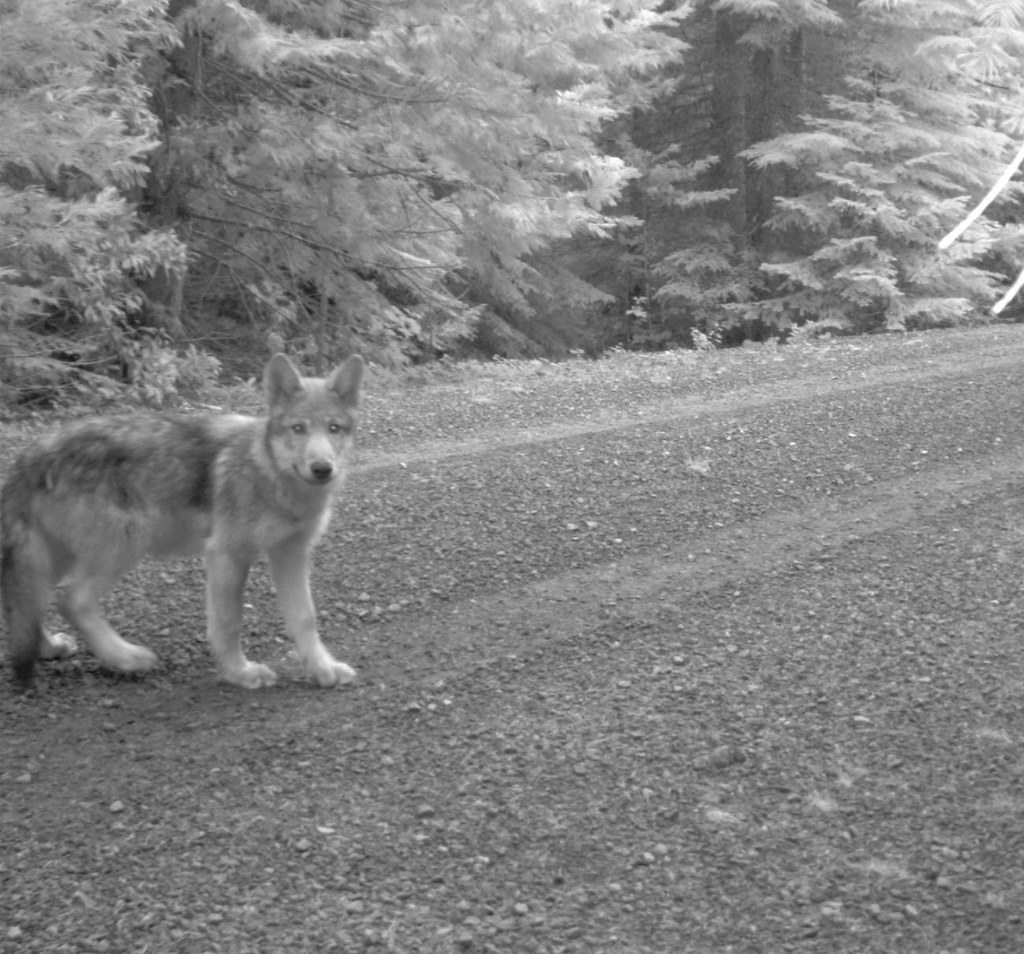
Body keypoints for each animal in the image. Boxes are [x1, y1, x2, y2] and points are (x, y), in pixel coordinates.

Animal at [1, 353, 363, 690]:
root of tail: (34, 454)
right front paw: (239, 673)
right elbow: (229, 623)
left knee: (27, 600)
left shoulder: (291, 554)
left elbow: (305, 618)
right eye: (298, 429)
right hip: (123, 548)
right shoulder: (226, 555)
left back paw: (50, 647)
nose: (322, 468)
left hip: (58, 558)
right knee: (71, 602)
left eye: (333, 428)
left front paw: (323, 670)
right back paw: (127, 658)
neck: (271, 474)